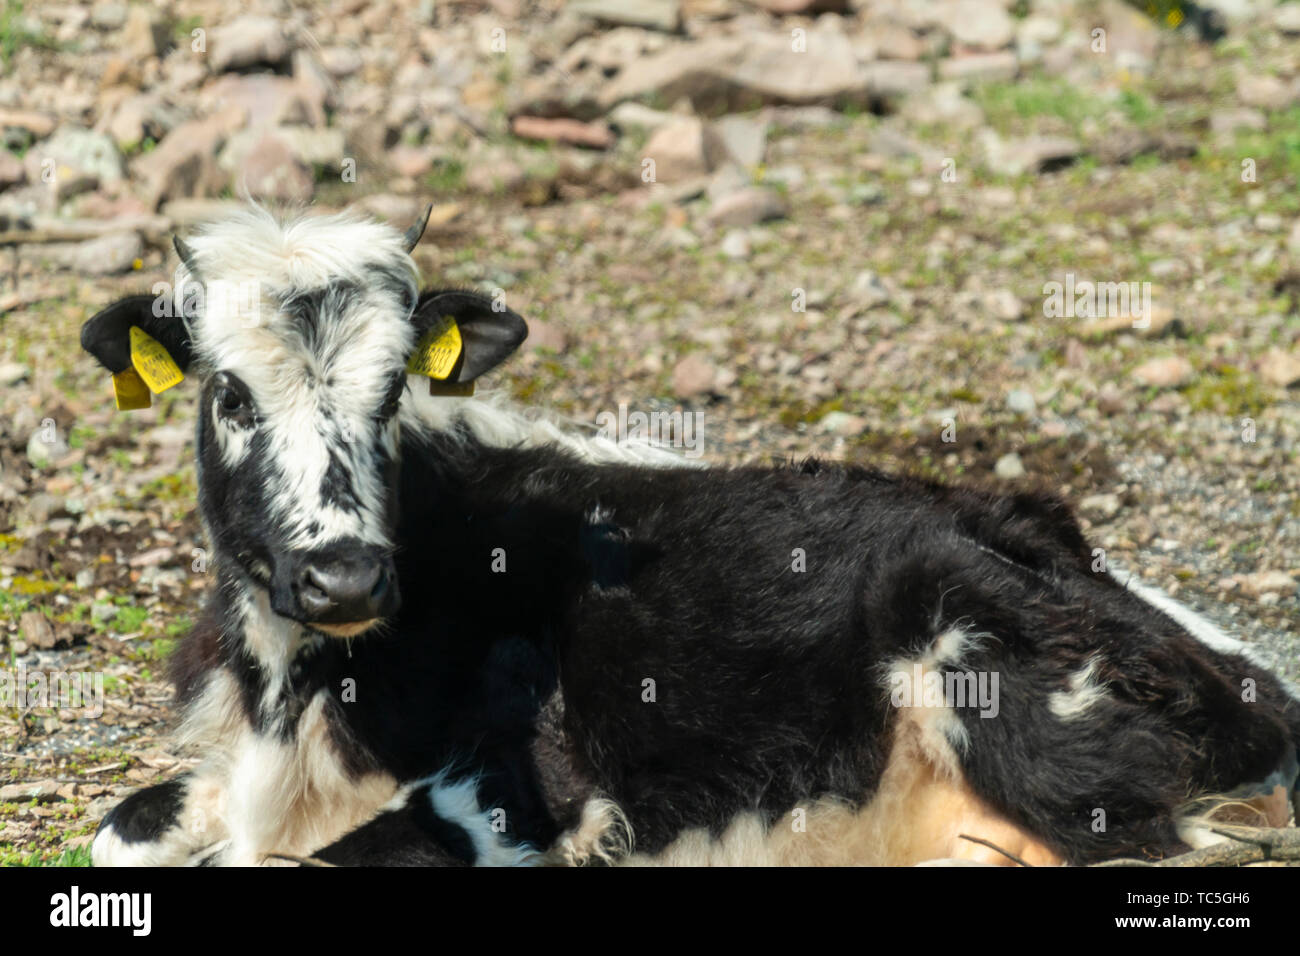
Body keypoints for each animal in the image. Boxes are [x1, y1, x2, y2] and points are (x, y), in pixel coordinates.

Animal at [81, 204, 1299, 867]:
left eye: (390, 395)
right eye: (229, 392)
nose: (342, 574)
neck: (294, 696)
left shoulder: (529, 795)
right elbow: (118, 828)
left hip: (989, 663)